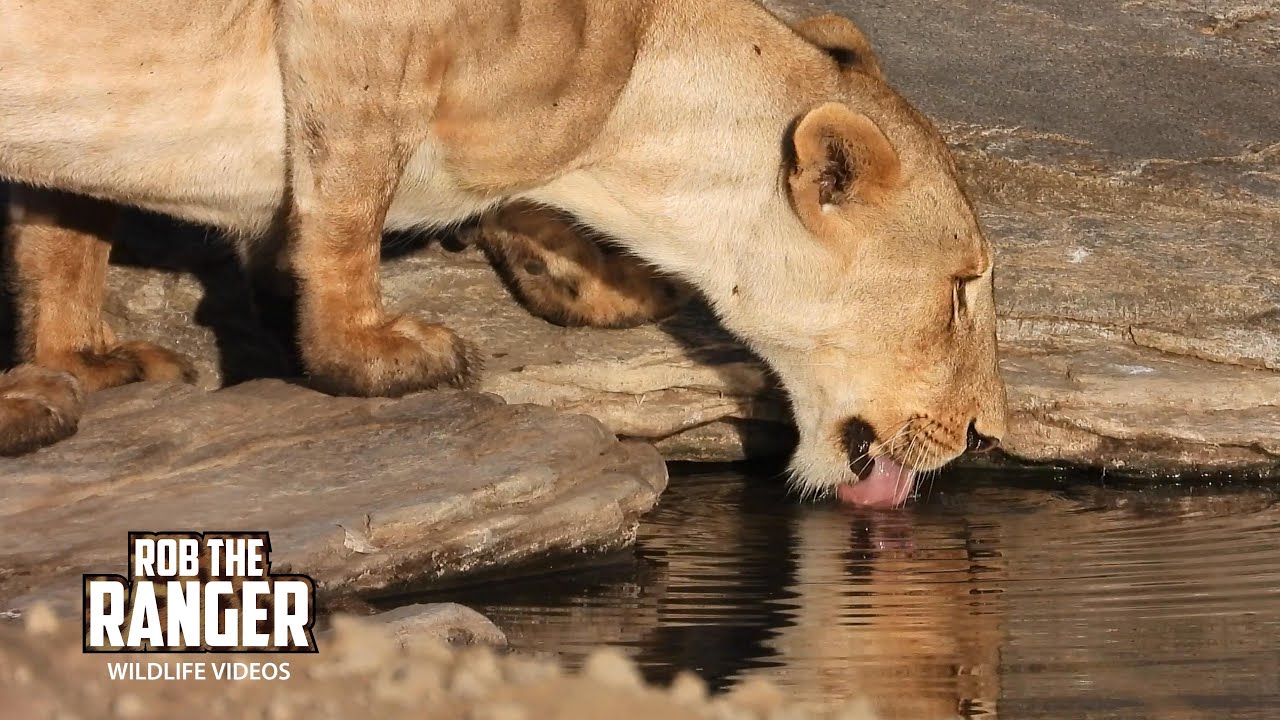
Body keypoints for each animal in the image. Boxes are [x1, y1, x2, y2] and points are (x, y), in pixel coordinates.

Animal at [0, 0, 1006, 506]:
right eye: (962, 289)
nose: (984, 436)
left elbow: (64, 228)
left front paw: (81, 358)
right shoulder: (363, 29)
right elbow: (350, 195)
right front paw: (372, 353)